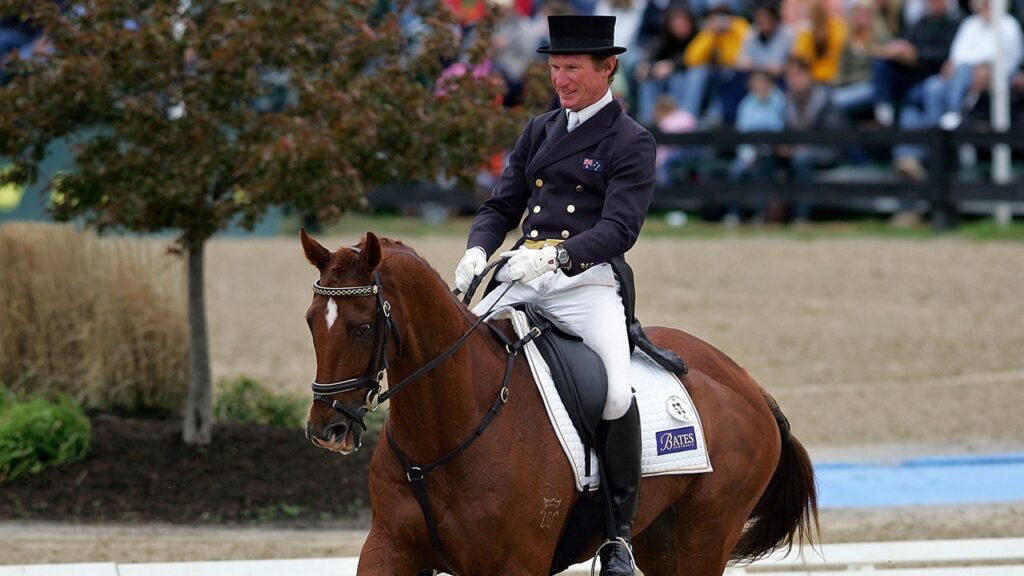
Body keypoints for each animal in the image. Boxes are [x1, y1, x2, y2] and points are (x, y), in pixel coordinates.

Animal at [301, 230, 818, 576]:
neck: (448, 430)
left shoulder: (516, 564)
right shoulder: (388, 548)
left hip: (704, 538)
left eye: (363, 327)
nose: (327, 430)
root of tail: (750, 386)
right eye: (310, 320)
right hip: (662, 540)